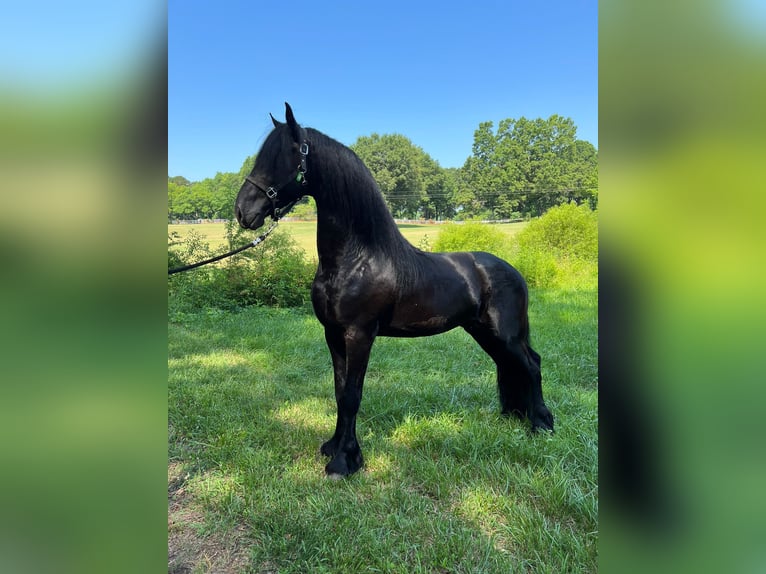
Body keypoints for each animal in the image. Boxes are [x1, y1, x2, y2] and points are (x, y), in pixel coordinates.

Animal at [235, 103, 554, 477]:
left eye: (285, 155)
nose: (242, 211)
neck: (358, 258)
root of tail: (512, 271)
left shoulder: (360, 334)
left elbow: (352, 396)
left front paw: (344, 462)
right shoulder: (333, 334)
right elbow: (339, 390)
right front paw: (334, 447)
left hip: (505, 334)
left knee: (532, 365)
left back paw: (542, 425)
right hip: (484, 332)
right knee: (511, 365)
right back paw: (514, 417)